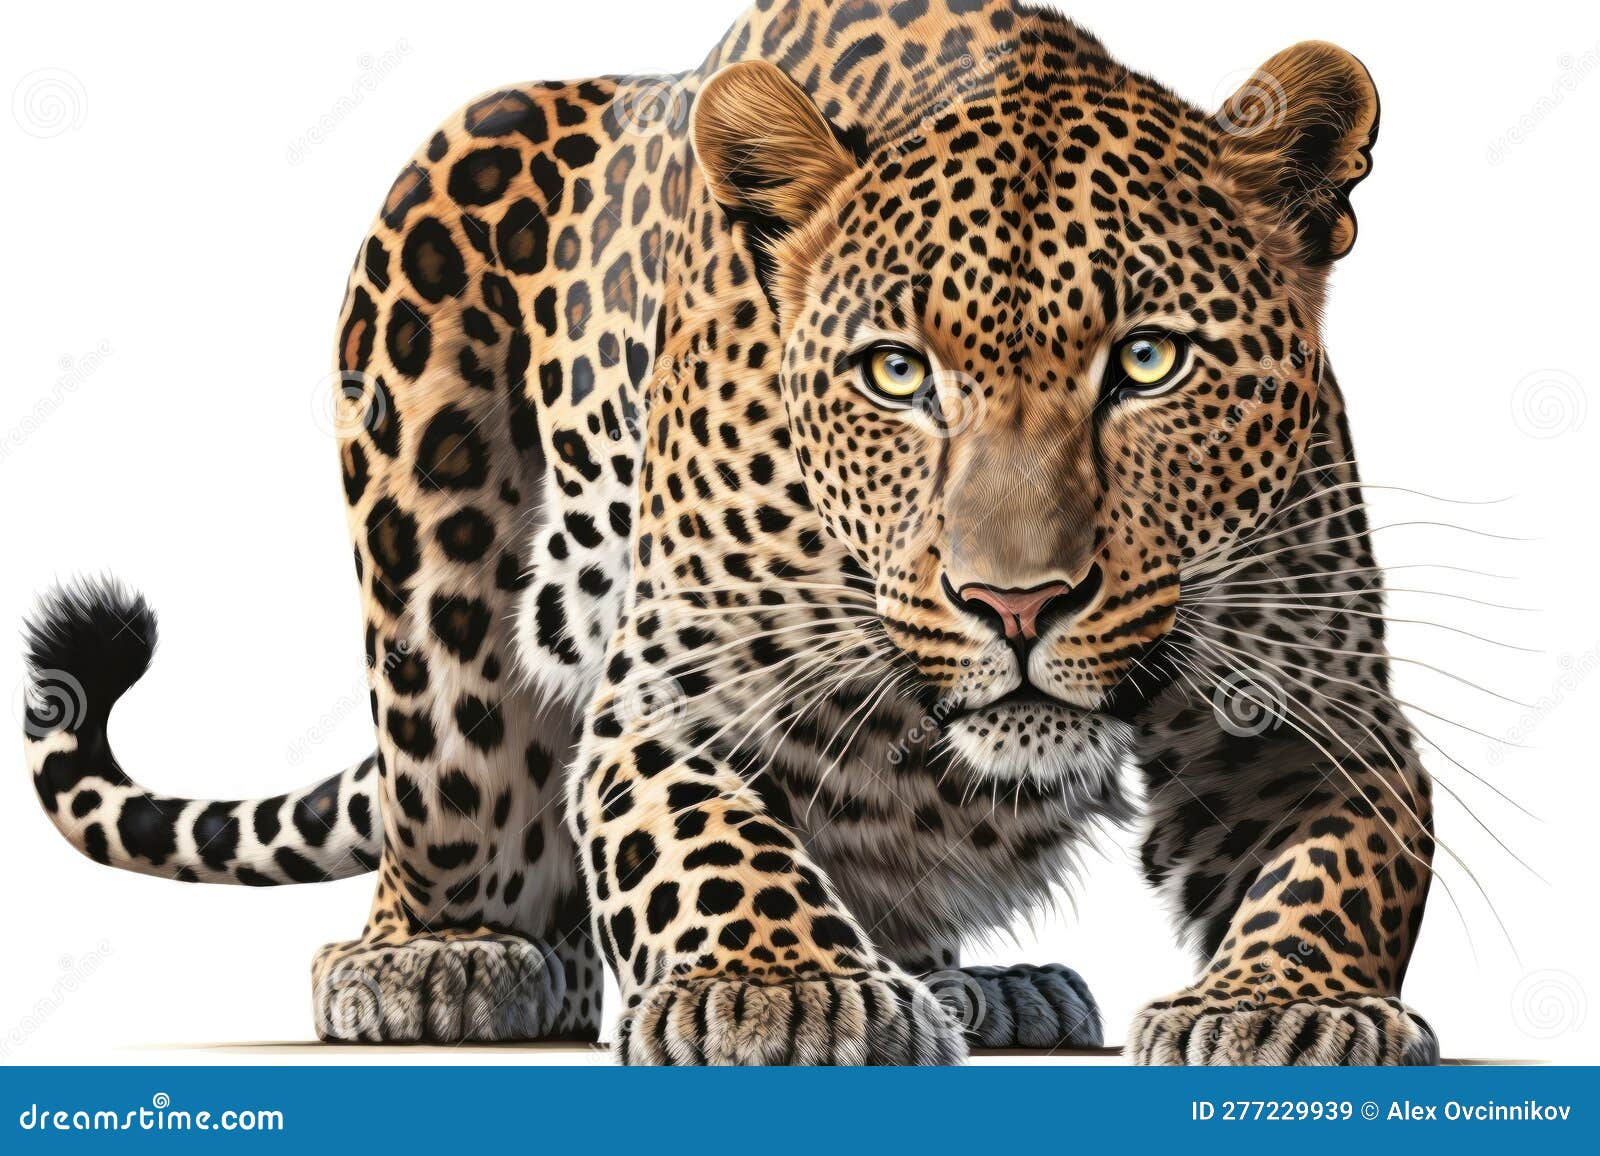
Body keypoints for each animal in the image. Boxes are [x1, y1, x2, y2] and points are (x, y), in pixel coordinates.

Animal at [22, 0, 1438, 1065]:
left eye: (1147, 360)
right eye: (896, 372)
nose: (1017, 605)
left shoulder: (1314, 718)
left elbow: (1348, 857)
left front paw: (1287, 1006)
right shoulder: (663, 704)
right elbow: (712, 843)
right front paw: (777, 985)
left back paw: (977, 985)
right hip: (432, 577)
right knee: (460, 793)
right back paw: (441, 959)